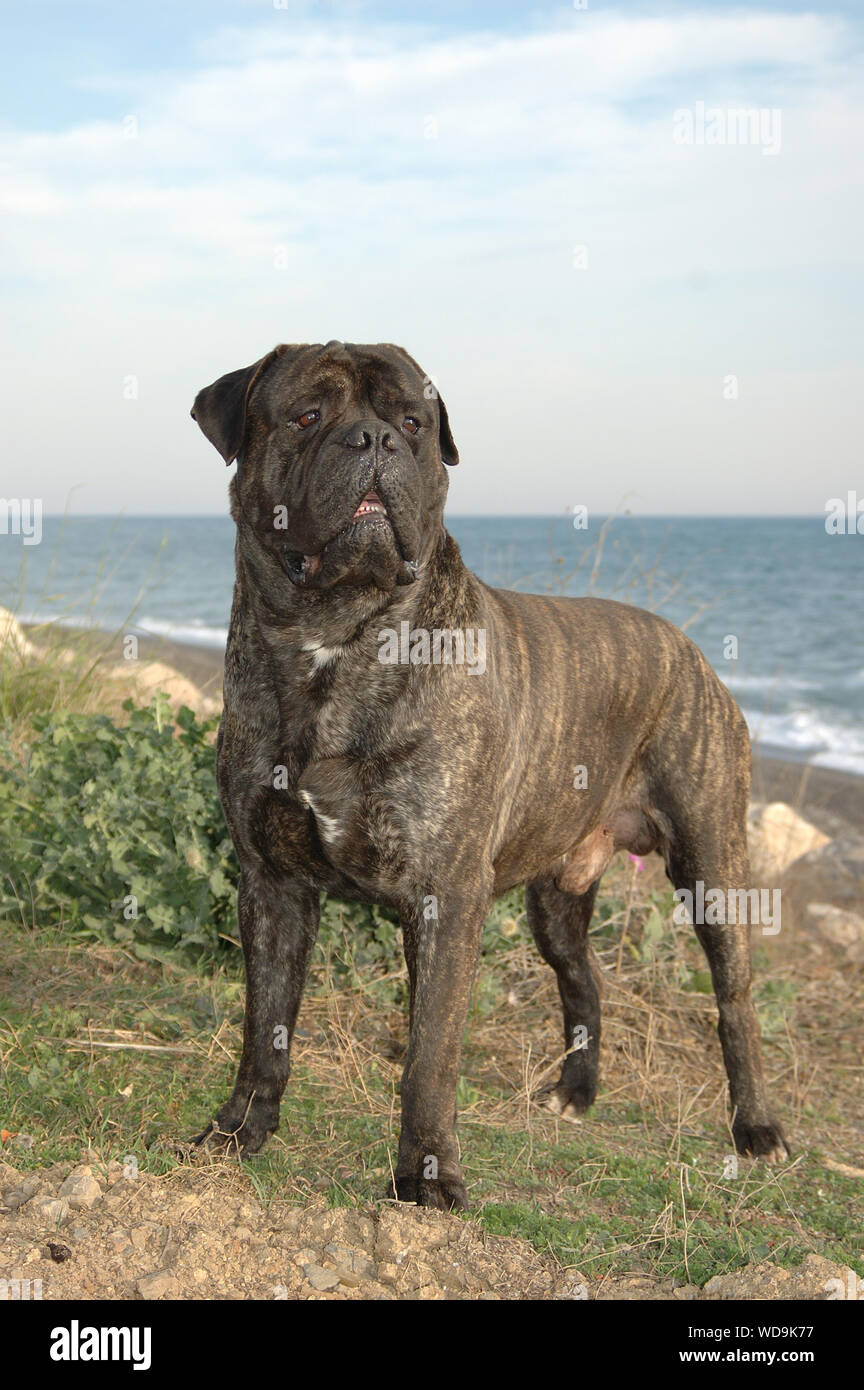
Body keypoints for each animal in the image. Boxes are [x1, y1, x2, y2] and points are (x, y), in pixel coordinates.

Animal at [191, 339, 794, 1206]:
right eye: (306, 414)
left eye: (413, 421)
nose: (375, 440)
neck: (333, 637)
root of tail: (689, 648)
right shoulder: (272, 884)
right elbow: (263, 1030)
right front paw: (239, 1133)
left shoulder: (446, 896)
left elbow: (430, 1056)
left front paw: (427, 1175)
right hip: (558, 896)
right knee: (584, 980)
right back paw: (576, 1092)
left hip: (713, 865)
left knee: (734, 1000)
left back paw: (757, 1128)